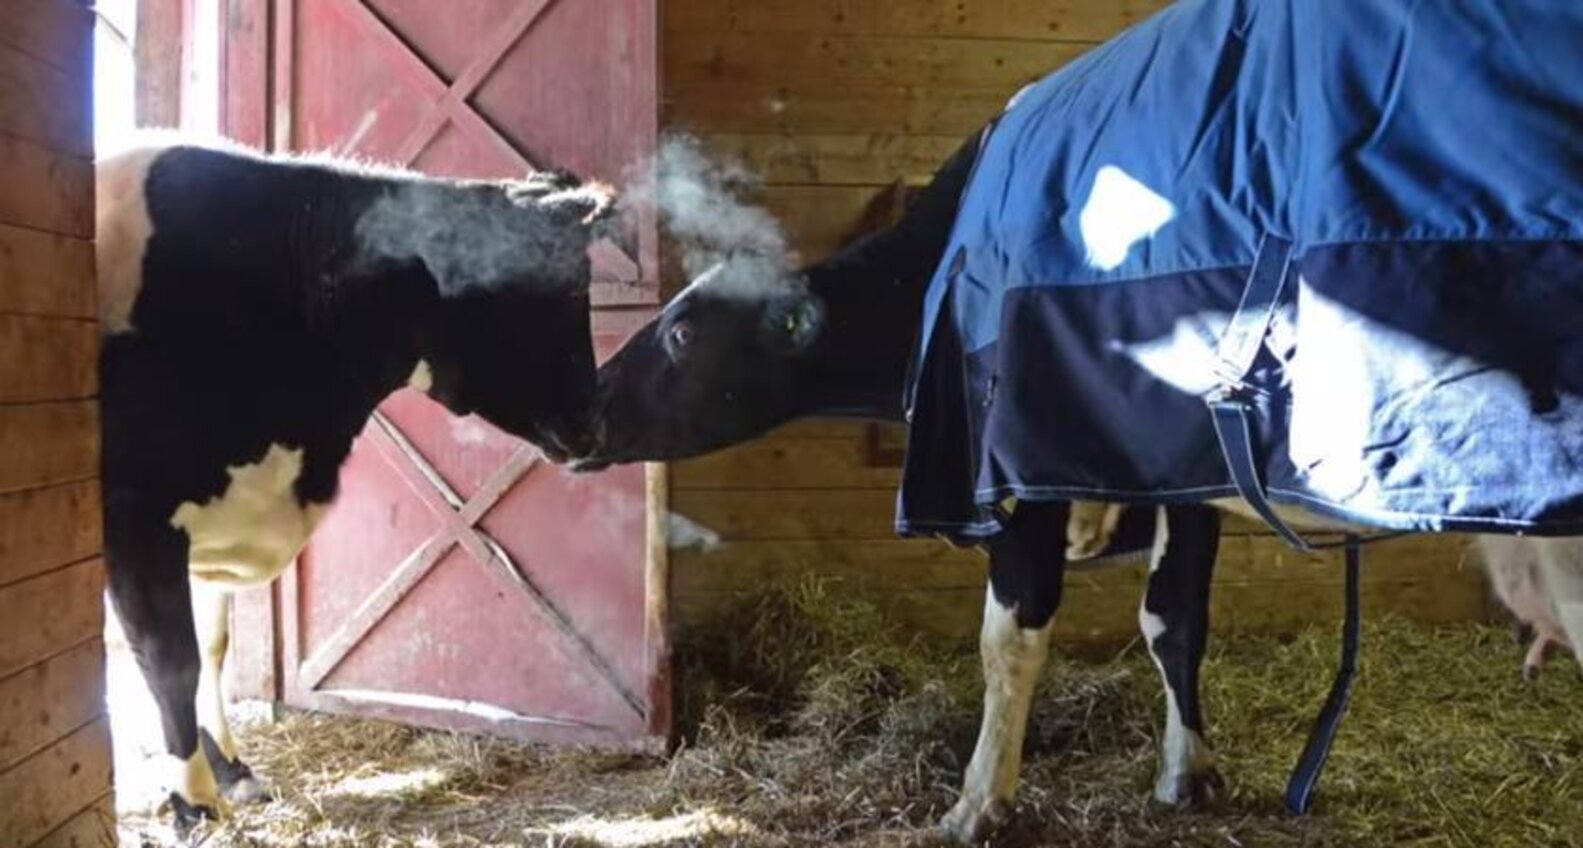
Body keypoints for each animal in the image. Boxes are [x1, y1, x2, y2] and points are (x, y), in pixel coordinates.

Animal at [97, 135, 613, 829]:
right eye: (543, 293)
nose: (594, 423)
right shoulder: (136, 516)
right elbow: (171, 659)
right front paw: (195, 803)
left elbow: (213, 648)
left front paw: (232, 771)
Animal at [573, 129, 1583, 842]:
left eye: (680, 334)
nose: (579, 410)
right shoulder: (1182, 488)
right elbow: (1172, 621)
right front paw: (1187, 774)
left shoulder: (1026, 486)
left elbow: (1009, 641)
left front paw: (978, 802)